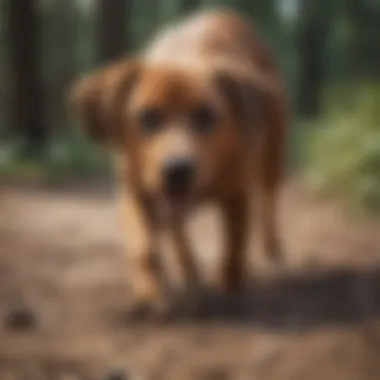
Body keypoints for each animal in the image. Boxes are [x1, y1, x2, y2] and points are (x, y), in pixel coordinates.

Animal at [68, 8, 288, 312]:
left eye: (206, 116)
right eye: (147, 116)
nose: (177, 169)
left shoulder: (237, 191)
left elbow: (234, 242)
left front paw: (231, 286)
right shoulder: (134, 189)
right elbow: (144, 247)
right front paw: (152, 290)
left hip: (273, 155)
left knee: (269, 200)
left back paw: (271, 249)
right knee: (177, 231)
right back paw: (188, 270)